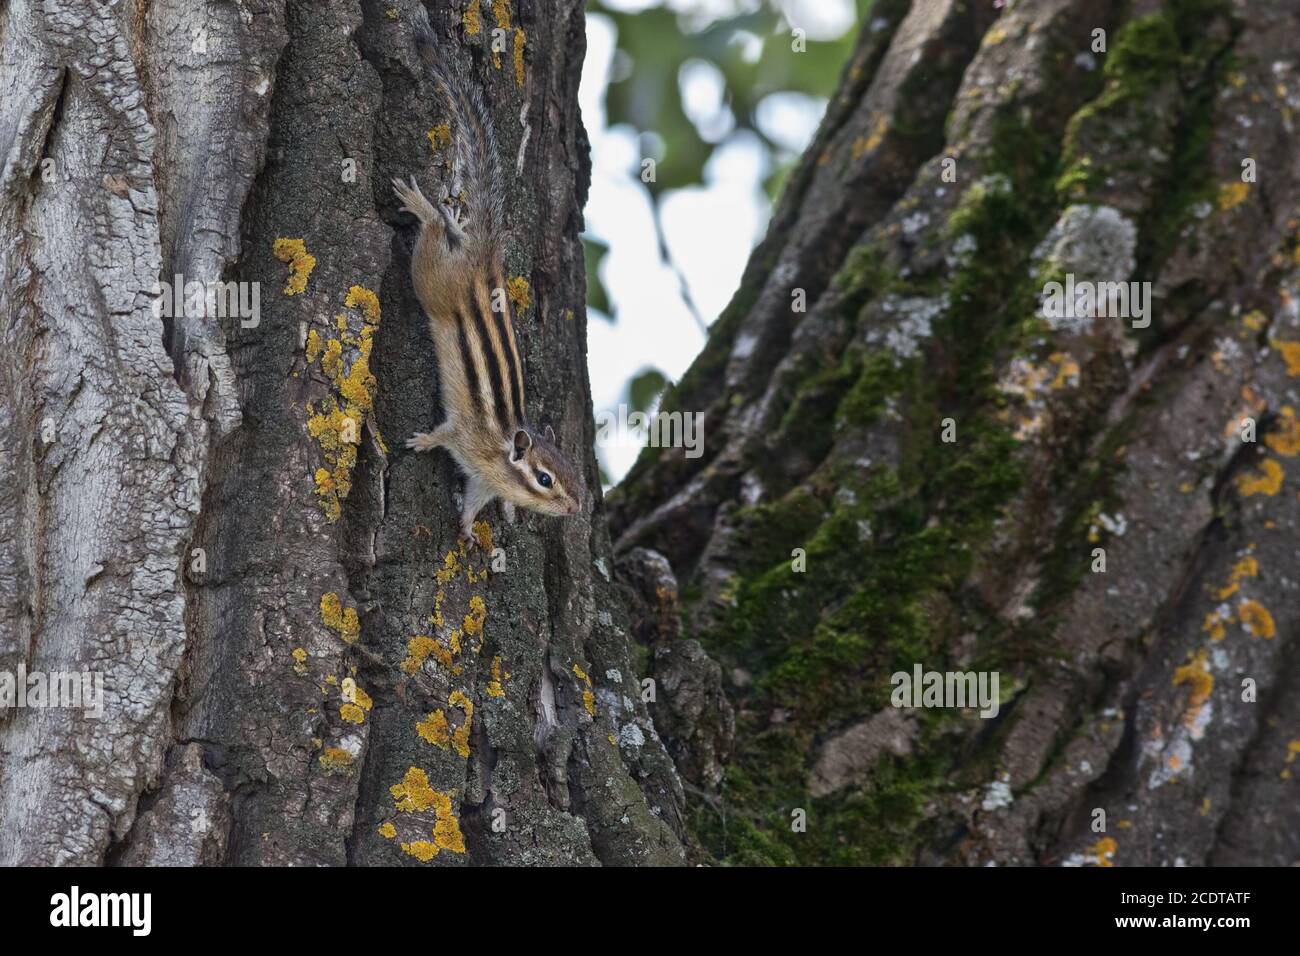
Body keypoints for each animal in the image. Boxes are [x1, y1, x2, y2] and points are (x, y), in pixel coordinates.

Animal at [395, 9, 580, 541]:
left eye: (576, 477)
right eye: (545, 479)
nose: (575, 508)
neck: (501, 459)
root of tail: (487, 257)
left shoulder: (483, 480)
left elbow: (475, 501)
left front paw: (465, 526)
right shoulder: (467, 436)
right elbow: (445, 433)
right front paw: (422, 441)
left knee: (452, 229)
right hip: (431, 281)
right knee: (433, 234)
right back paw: (424, 208)